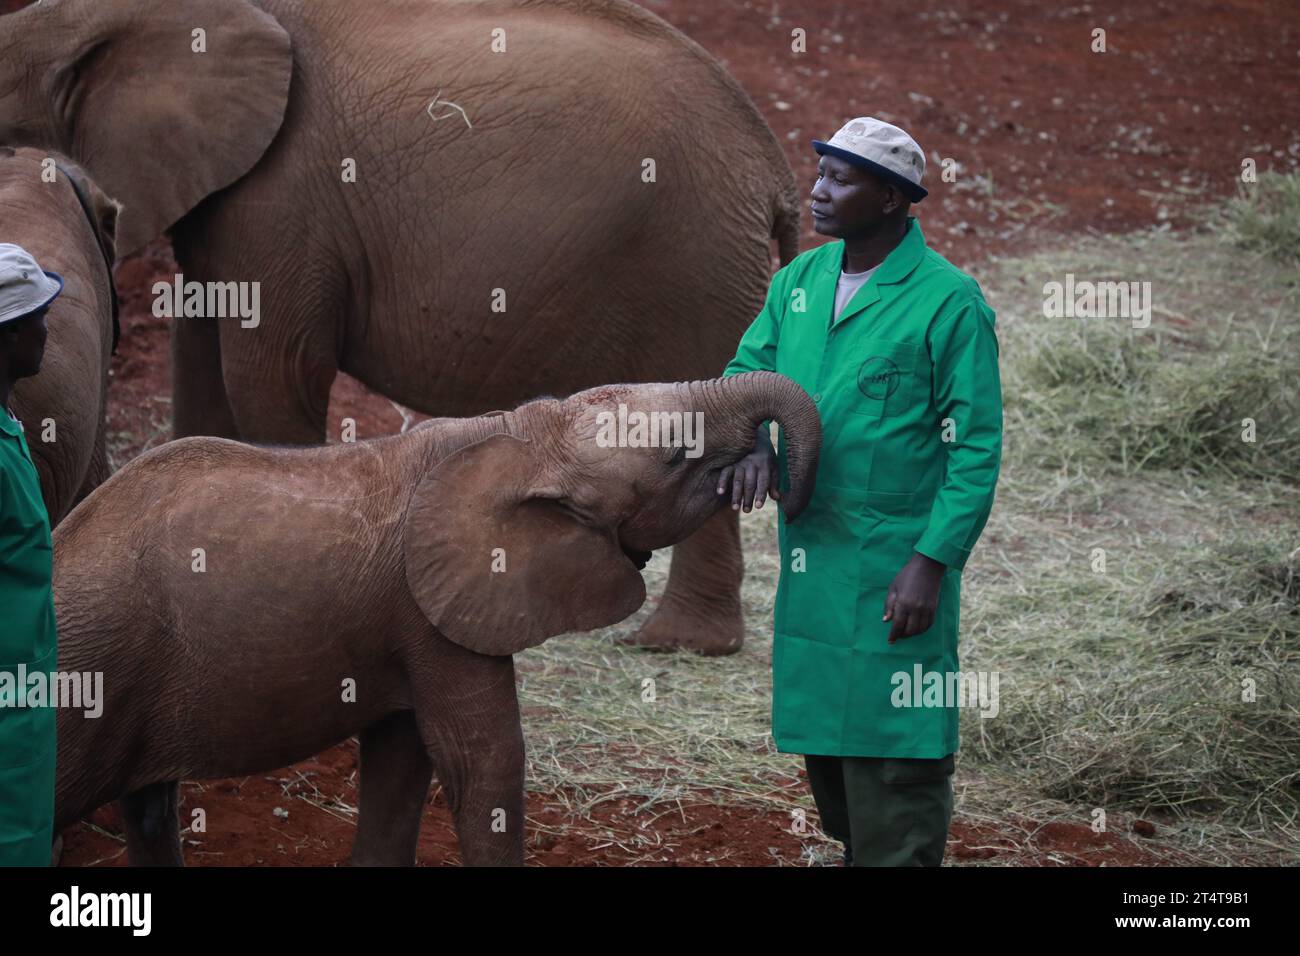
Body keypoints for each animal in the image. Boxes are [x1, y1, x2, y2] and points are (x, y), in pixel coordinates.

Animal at [50, 370, 820, 865]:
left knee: (149, 808)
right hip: (85, 673)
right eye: (676, 455)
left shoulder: (404, 627)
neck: (519, 435)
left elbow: (403, 759)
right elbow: (482, 759)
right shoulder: (430, 612)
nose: (768, 475)